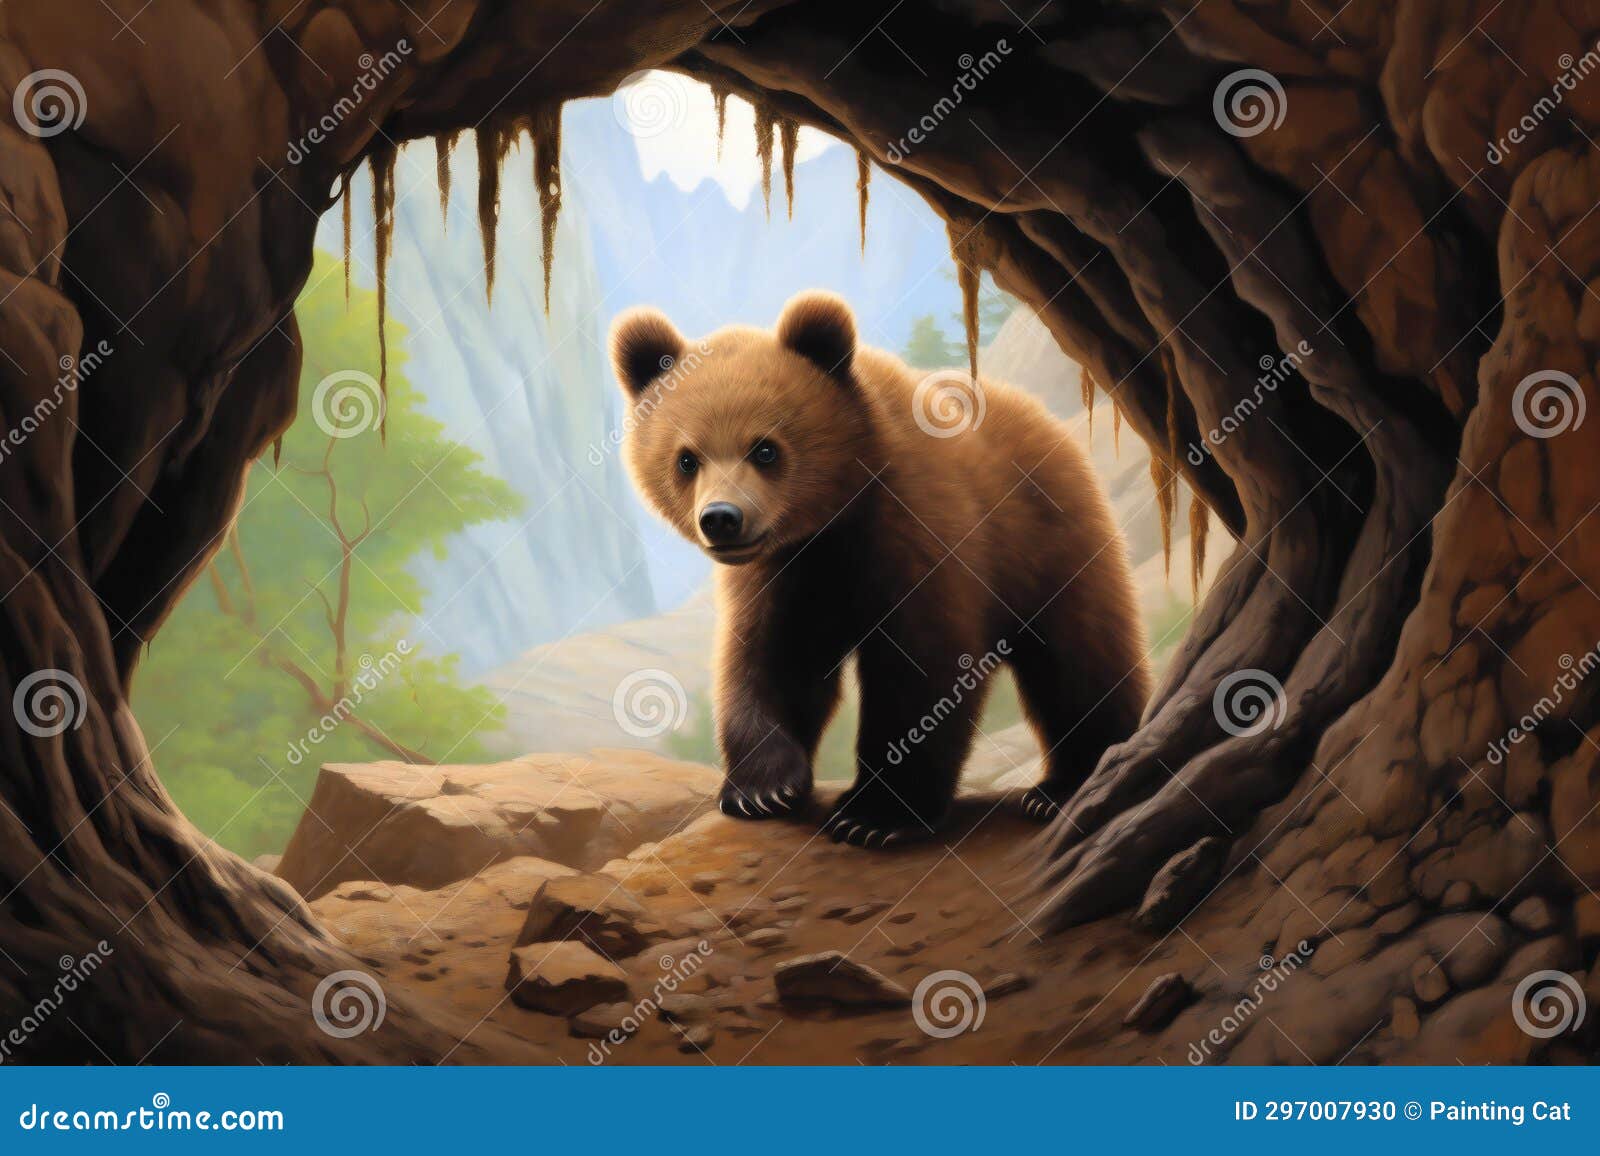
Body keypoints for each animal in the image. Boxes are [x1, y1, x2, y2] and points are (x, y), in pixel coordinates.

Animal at [609, 290, 1150, 847]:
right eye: (686, 458)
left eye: (765, 449)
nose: (722, 518)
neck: (833, 519)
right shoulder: (783, 573)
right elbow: (773, 658)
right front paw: (763, 787)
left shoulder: (917, 531)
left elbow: (922, 670)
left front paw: (874, 815)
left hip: (1051, 538)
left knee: (1079, 657)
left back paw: (1065, 783)